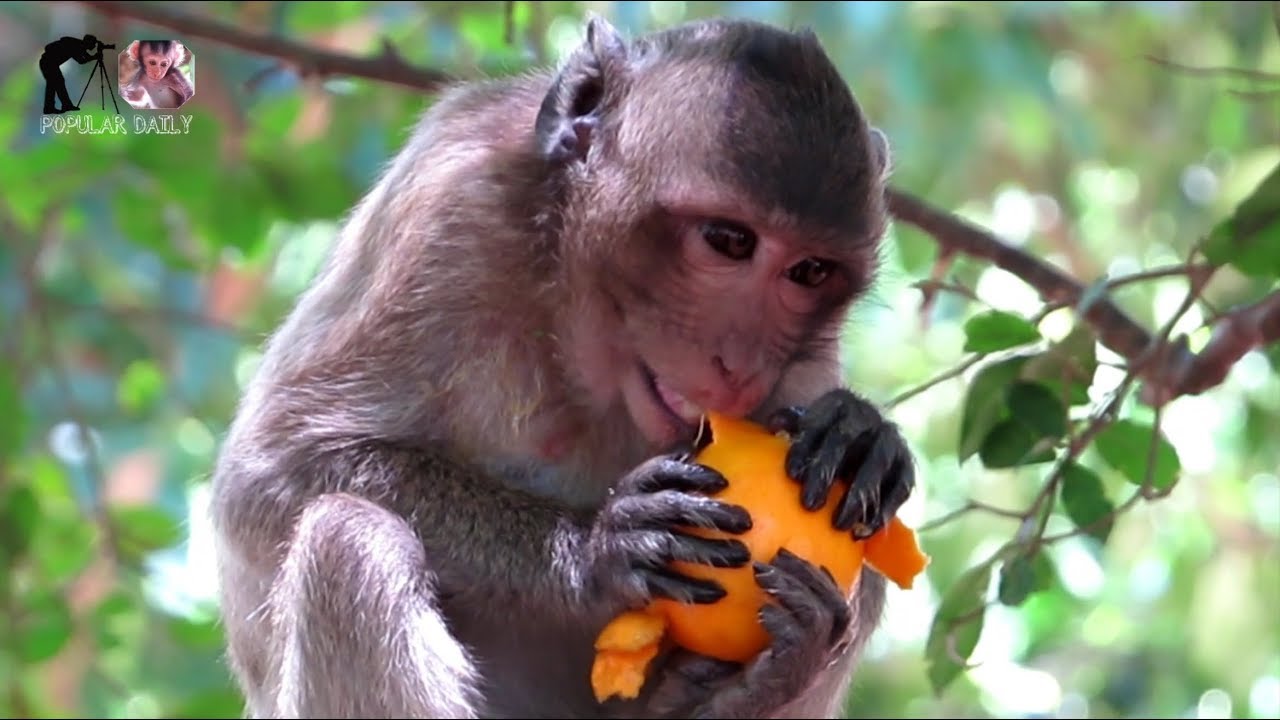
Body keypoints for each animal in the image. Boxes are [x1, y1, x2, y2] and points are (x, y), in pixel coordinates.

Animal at [210, 14, 916, 720]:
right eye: (729, 241)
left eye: (810, 271)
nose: (740, 363)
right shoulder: (451, 206)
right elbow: (269, 474)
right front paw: (594, 551)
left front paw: (860, 431)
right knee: (347, 539)